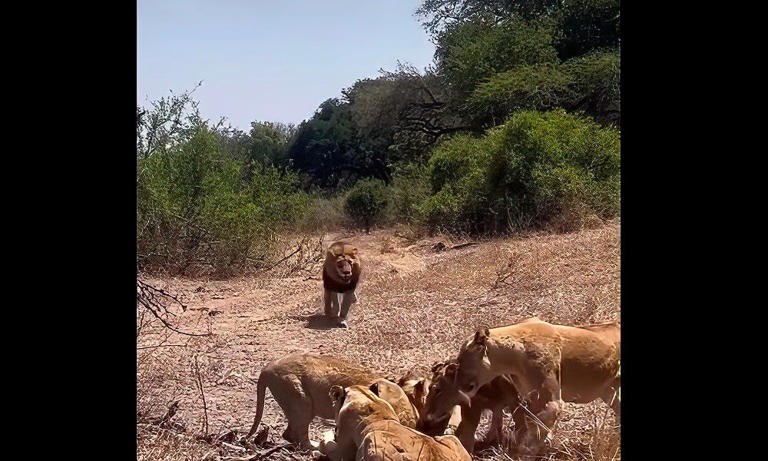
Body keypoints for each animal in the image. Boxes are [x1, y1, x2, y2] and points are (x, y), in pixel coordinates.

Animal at [422, 318, 620, 460]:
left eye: (461, 361)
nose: (427, 420)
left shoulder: (549, 403)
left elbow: (531, 436)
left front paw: (518, 454)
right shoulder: (529, 400)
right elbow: (528, 428)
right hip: (610, 392)